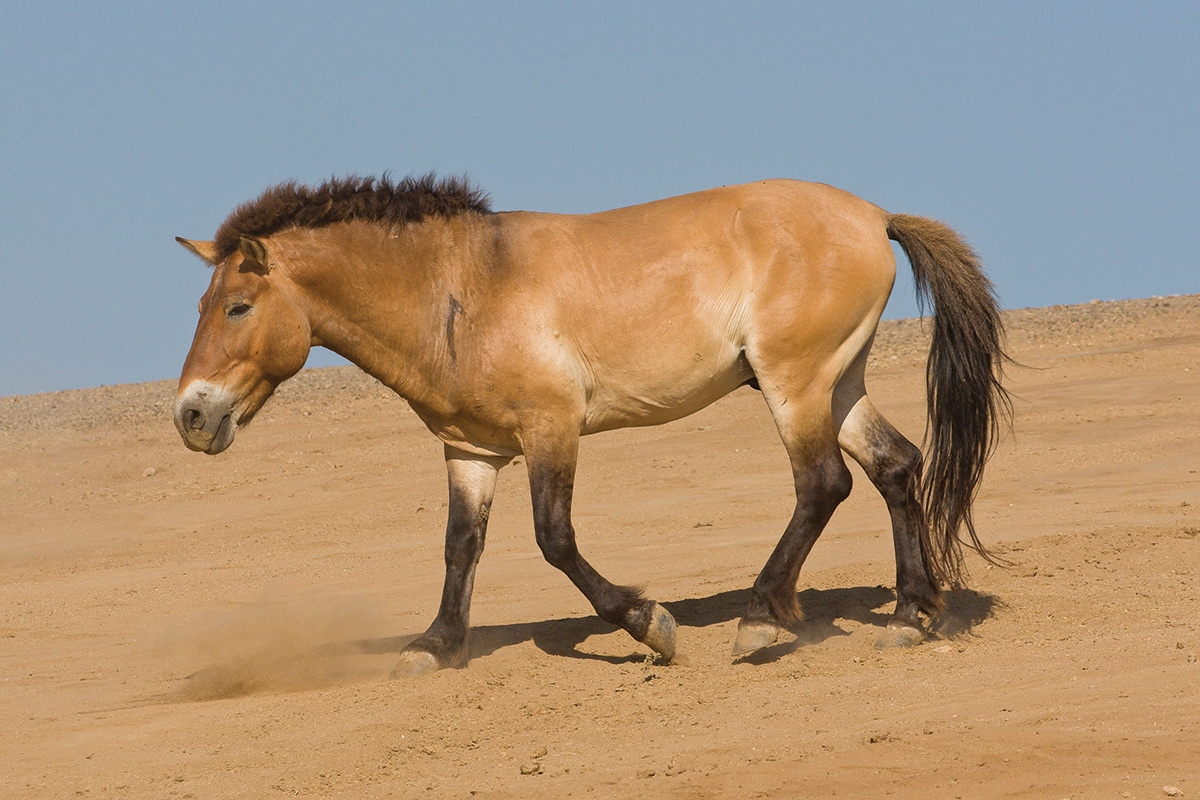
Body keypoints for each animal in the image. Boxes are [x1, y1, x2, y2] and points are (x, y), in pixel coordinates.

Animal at [174, 174, 1009, 676]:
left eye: (238, 306)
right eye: (202, 305)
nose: (190, 414)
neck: (462, 289)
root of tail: (874, 215)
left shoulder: (552, 429)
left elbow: (555, 540)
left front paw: (647, 623)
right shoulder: (470, 450)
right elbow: (460, 547)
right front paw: (436, 645)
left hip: (793, 383)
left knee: (822, 485)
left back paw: (761, 618)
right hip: (839, 382)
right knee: (896, 466)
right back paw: (911, 614)